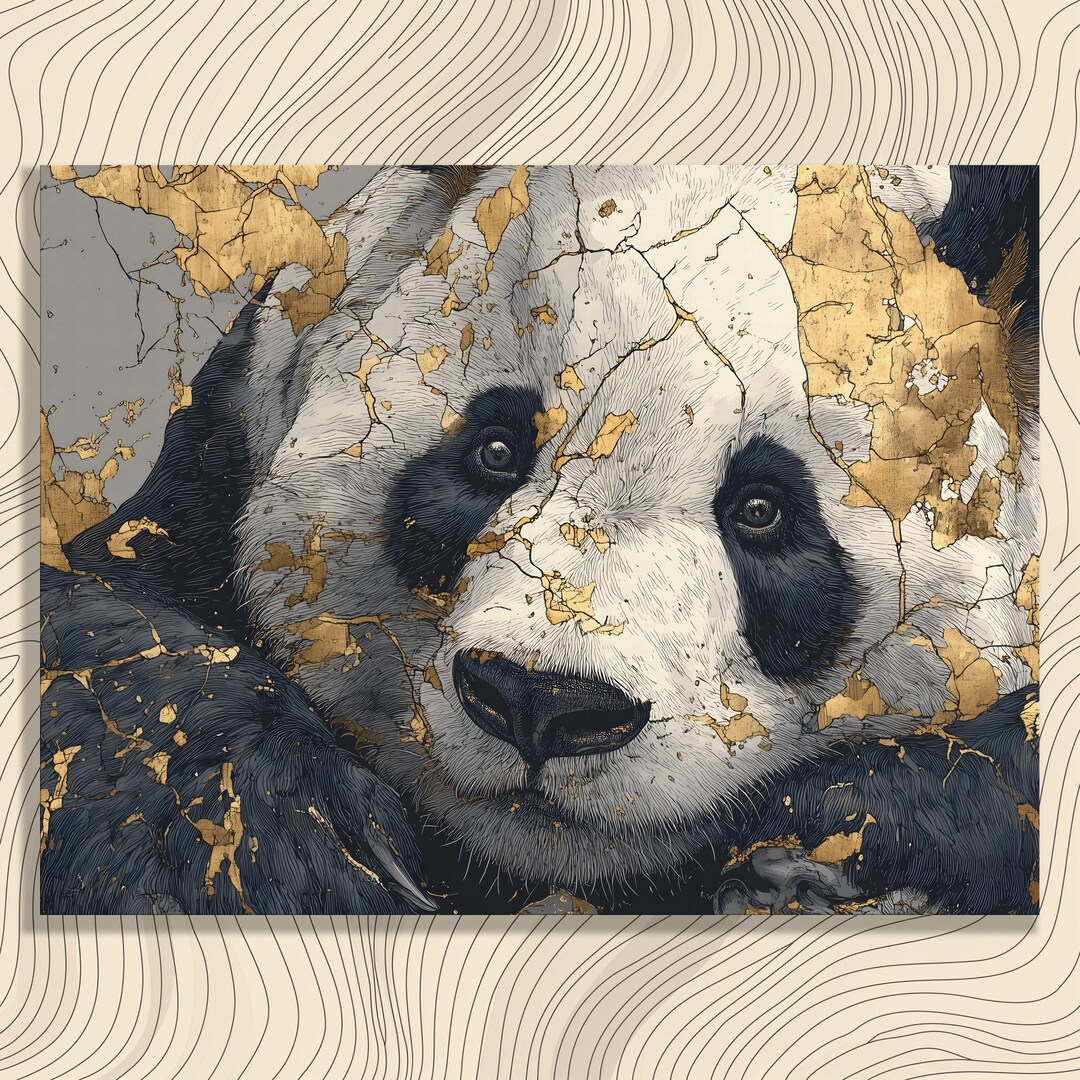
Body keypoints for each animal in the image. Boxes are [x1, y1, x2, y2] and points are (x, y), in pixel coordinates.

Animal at [41, 165, 1039, 916]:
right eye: (495, 451)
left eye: (763, 510)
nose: (542, 703)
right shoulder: (221, 451)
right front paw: (275, 836)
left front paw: (849, 832)